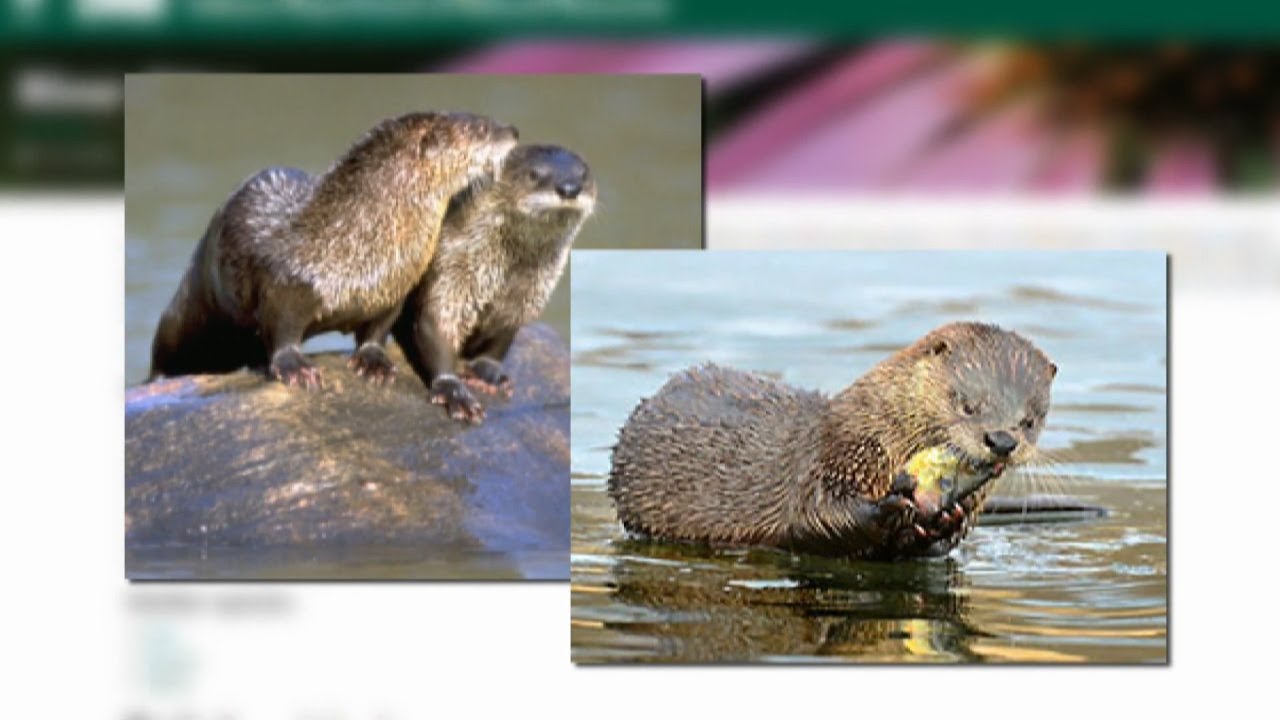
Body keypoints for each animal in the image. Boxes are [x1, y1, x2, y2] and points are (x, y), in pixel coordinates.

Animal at [148, 111, 519, 388]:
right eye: (481, 128)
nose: (513, 130)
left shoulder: (395, 290)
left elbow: (378, 329)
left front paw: (374, 361)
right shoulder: (286, 284)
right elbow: (281, 329)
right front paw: (295, 367)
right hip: (189, 309)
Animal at [393, 144, 595, 423]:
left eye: (583, 175)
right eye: (534, 174)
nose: (569, 189)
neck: (501, 273)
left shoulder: (526, 295)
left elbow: (504, 334)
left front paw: (487, 373)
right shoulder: (448, 264)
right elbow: (435, 322)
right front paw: (453, 391)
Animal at [608, 322, 1057, 560]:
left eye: (1030, 419)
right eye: (967, 404)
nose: (1002, 440)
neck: (883, 436)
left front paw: (947, 520)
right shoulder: (834, 453)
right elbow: (812, 515)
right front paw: (883, 509)